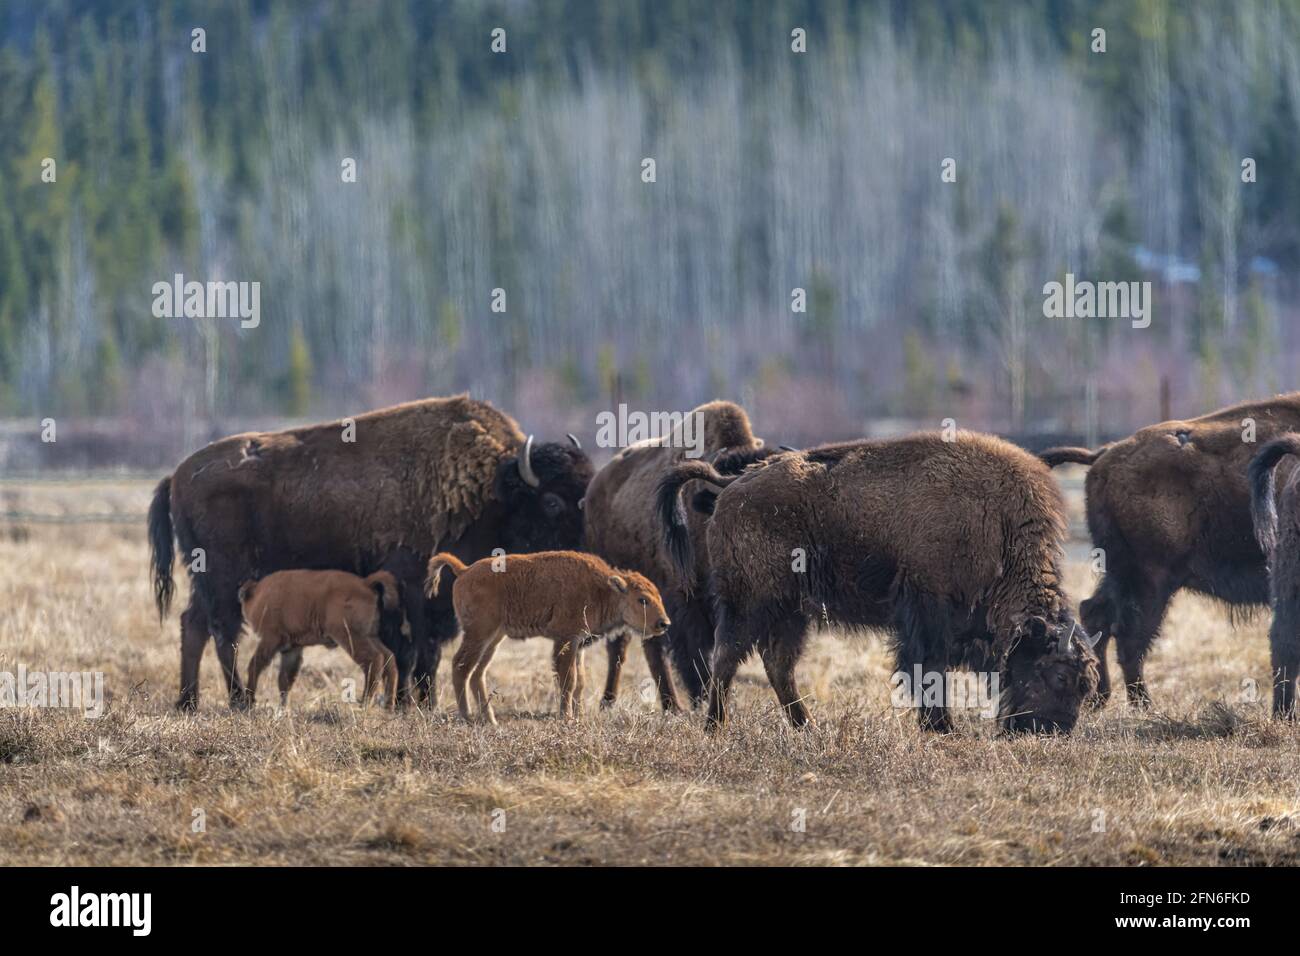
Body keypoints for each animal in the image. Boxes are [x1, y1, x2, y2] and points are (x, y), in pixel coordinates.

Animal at [149, 395, 593, 710]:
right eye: (552, 501)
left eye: (585, 493)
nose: (588, 553)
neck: (489, 492)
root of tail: (178, 474)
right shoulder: (413, 589)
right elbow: (418, 649)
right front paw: (415, 703)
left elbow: (417, 650)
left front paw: (409, 702)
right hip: (221, 576)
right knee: (223, 630)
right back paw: (238, 700)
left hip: (203, 577)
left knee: (194, 625)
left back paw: (189, 701)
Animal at [658, 432, 1099, 734]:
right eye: (1059, 675)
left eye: (1086, 686)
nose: (1051, 731)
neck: (1000, 528)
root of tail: (730, 485)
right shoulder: (927, 612)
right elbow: (928, 666)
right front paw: (942, 727)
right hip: (749, 602)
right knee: (727, 655)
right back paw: (716, 725)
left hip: (792, 611)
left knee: (777, 663)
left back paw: (806, 725)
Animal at [1040, 393, 1300, 707]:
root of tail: (1104, 454)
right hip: (1151, 580)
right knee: (1129, 638)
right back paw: (1143, 705)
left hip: (1124, 573)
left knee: (1097, 614)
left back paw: (1101, 698)